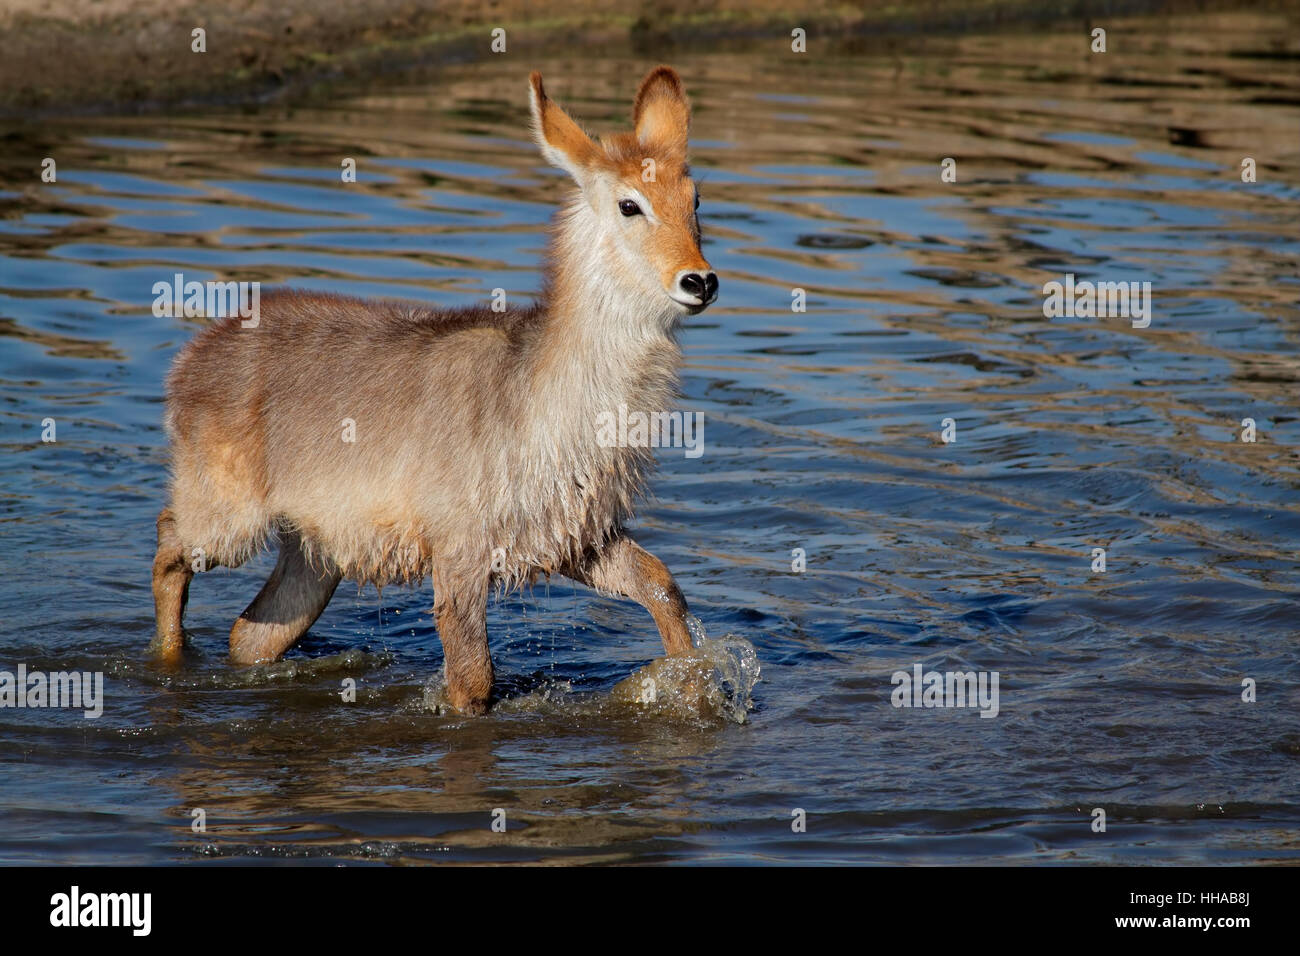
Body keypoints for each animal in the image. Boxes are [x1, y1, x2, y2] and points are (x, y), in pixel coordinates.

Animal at [151, 66, 718, 715]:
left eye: (695, 199)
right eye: (630, 205)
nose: (700, 281)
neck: (543, 398)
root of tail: (193, 356)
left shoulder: (573, 535)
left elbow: (662, 584)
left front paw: (692, 682)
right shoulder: (460, 549)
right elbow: (473, 680)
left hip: (318, 549)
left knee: (249, 633)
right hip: (228, 519)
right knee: (168, 546)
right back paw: (167, 660)